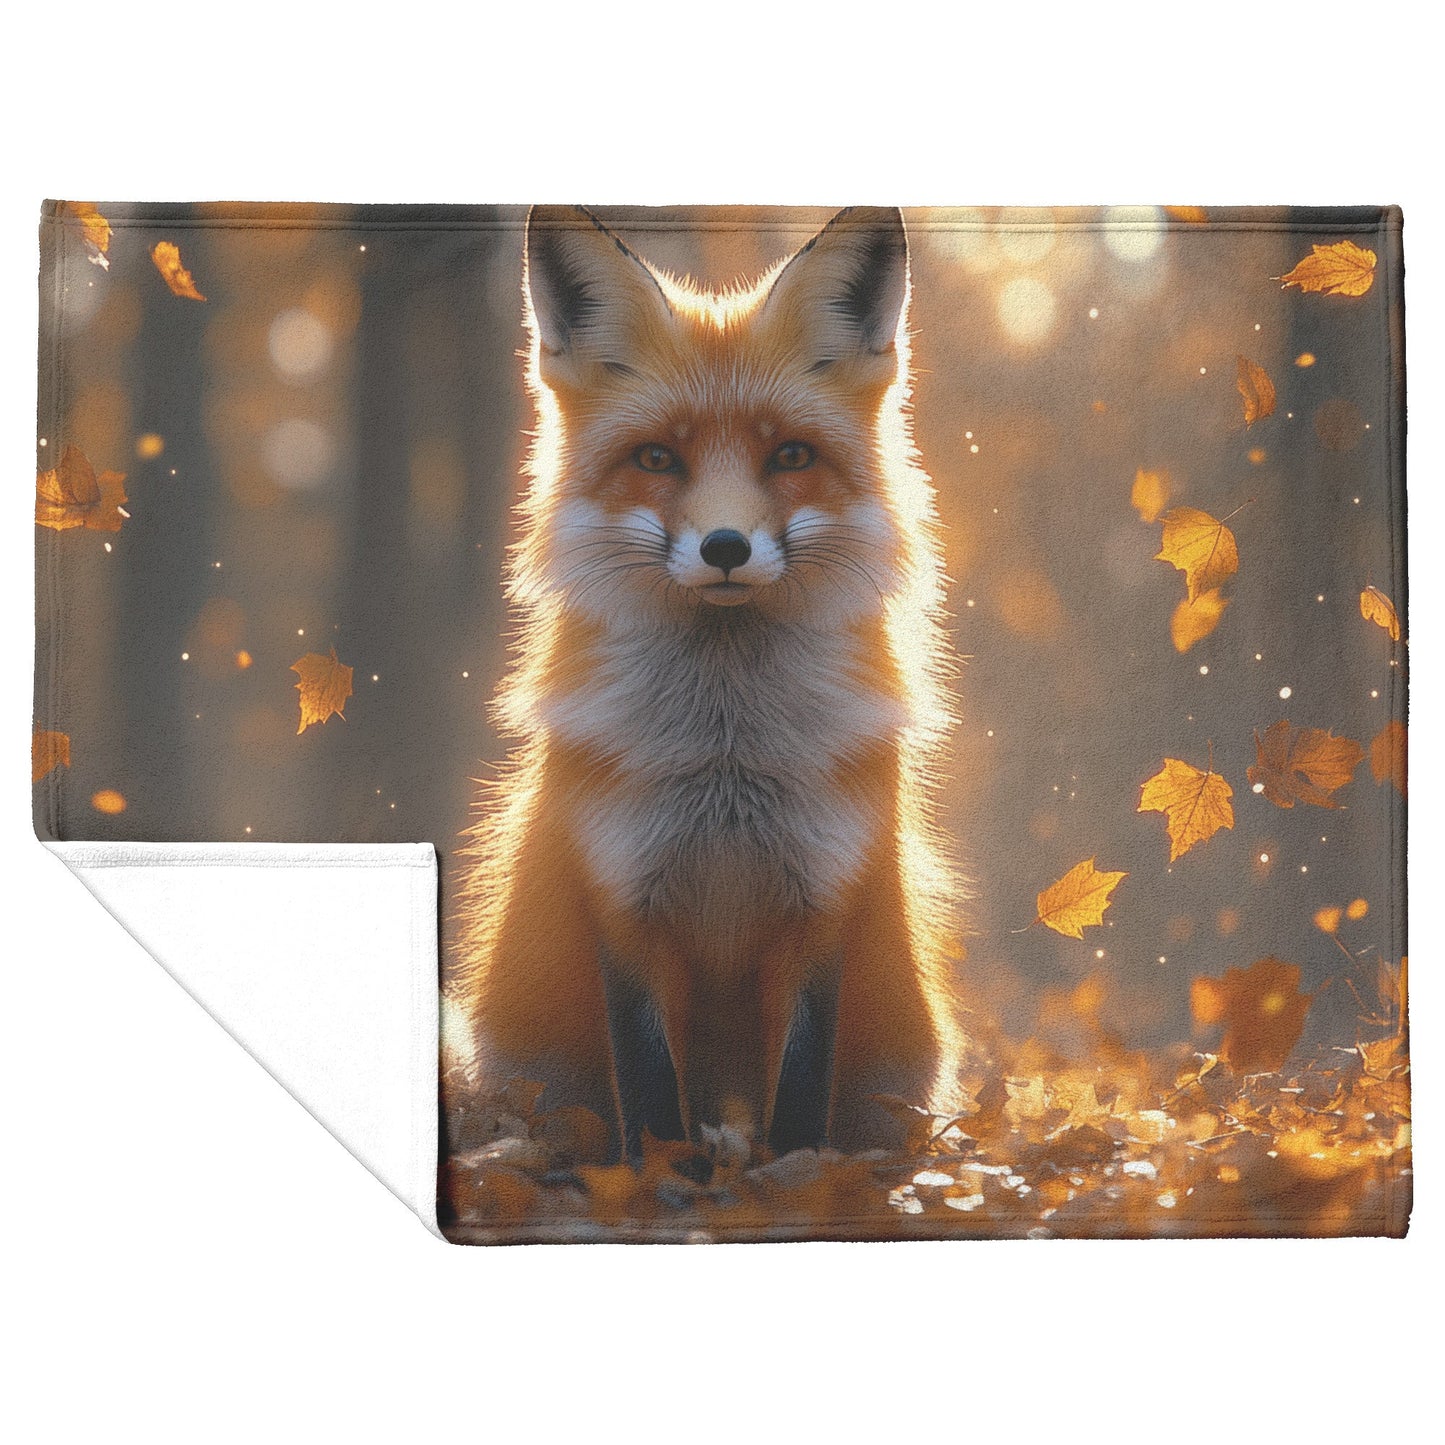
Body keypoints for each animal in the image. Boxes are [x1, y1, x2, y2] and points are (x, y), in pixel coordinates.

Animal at [448, 205, 966, 1156]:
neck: (726, 759)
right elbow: (651, 1092)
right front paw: (656, 1175)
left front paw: (800, 1175)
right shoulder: (622, 899)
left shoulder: (822, 901)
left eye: (790, 455)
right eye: (657, 459)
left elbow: (799, 1092)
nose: (725, 546)